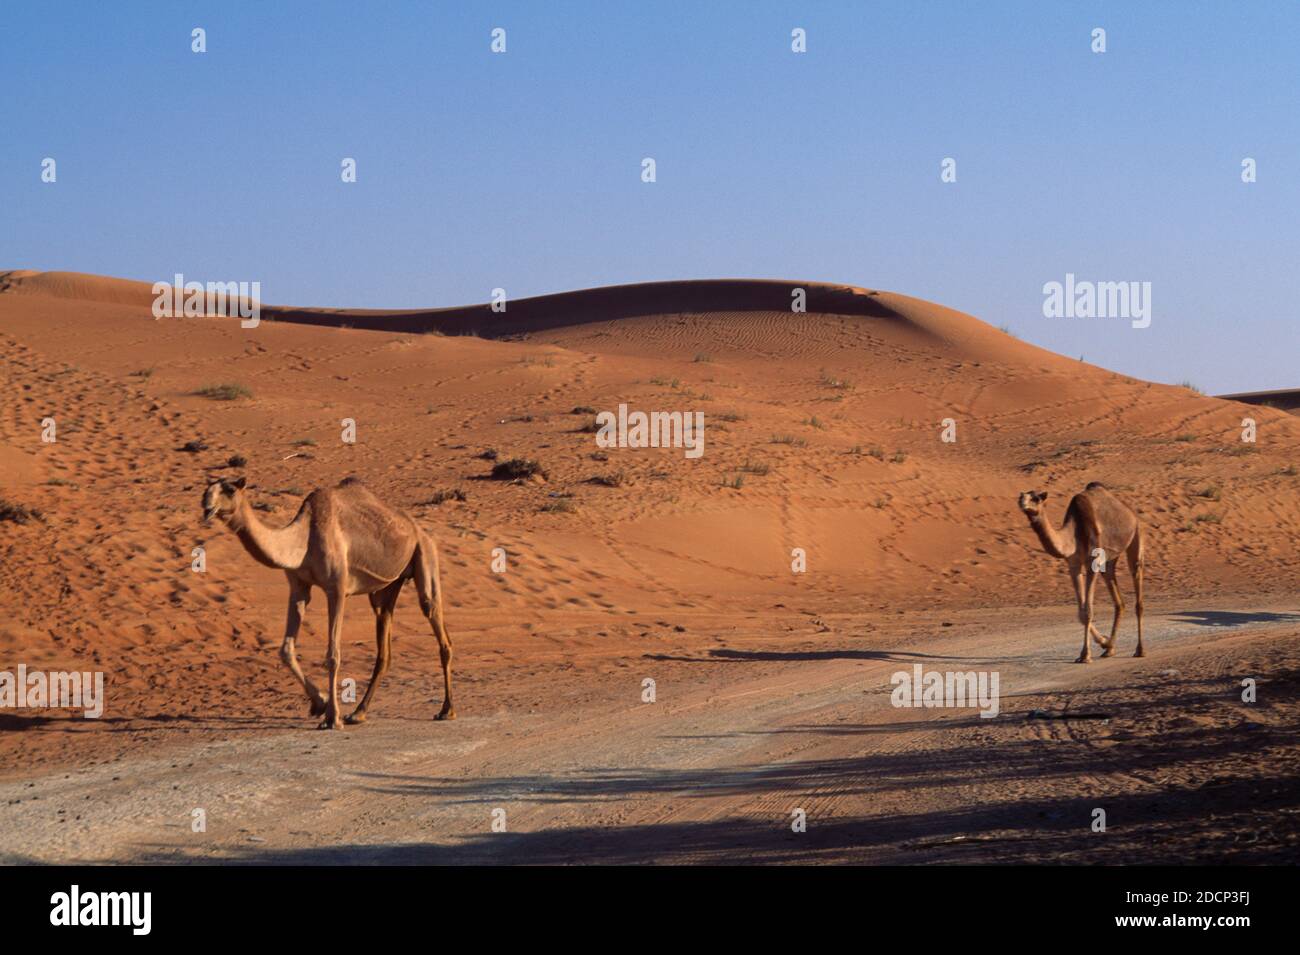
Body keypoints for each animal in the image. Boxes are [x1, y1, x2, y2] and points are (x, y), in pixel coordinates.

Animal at [201, 475, 453, 729]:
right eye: (206, 489)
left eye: (230, 489)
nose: (206, 505)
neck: (304, 537)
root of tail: (418, 529)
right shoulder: (299, 587)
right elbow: (286, 650)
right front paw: (319, 704)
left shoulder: (337, 588)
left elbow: (333, 655)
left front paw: (332, 717)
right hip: (387, 587)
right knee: (384, 635)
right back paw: (359, 713)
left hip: (425, 553)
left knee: (435, 618)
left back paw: (446, 710)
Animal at [1018, 482, 1145, 663]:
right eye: (1021, 496)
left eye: (1036, 498)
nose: (1022, 503)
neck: (1073, 534)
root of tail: (1131, 513)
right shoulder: (1074, 565)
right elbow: (1081, 613)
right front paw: (1103, 642)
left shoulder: (1093, 562)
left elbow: (1088, 611)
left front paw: (1085, 655)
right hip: (1109, 560)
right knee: (1118, 601)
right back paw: (1110, 649)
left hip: (1136, 535)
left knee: (1137, 591)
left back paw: (1140, 650)